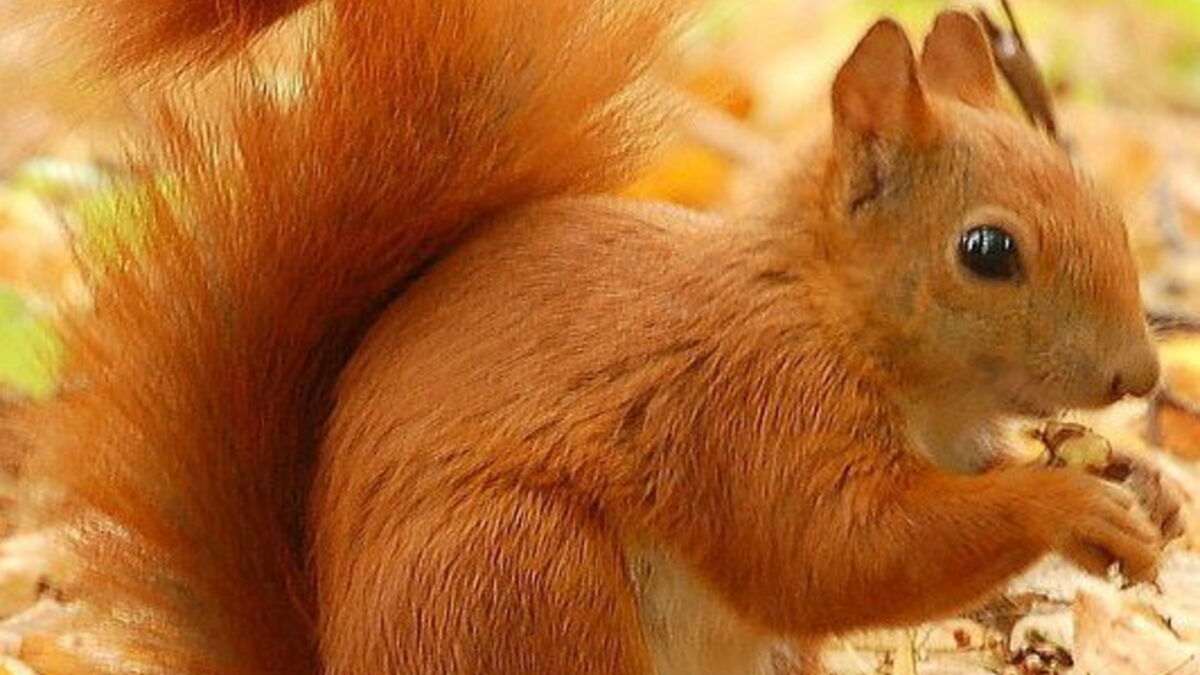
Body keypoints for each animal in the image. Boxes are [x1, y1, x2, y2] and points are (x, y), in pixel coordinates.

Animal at [7, 1, 1176, 673]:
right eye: (987, 251)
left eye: (1091, 191)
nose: (1140, 374)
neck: (830, 313)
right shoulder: (750, 405)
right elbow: (833, 551)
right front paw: (1064, 502)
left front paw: (1147, 493)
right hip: (523, 575)